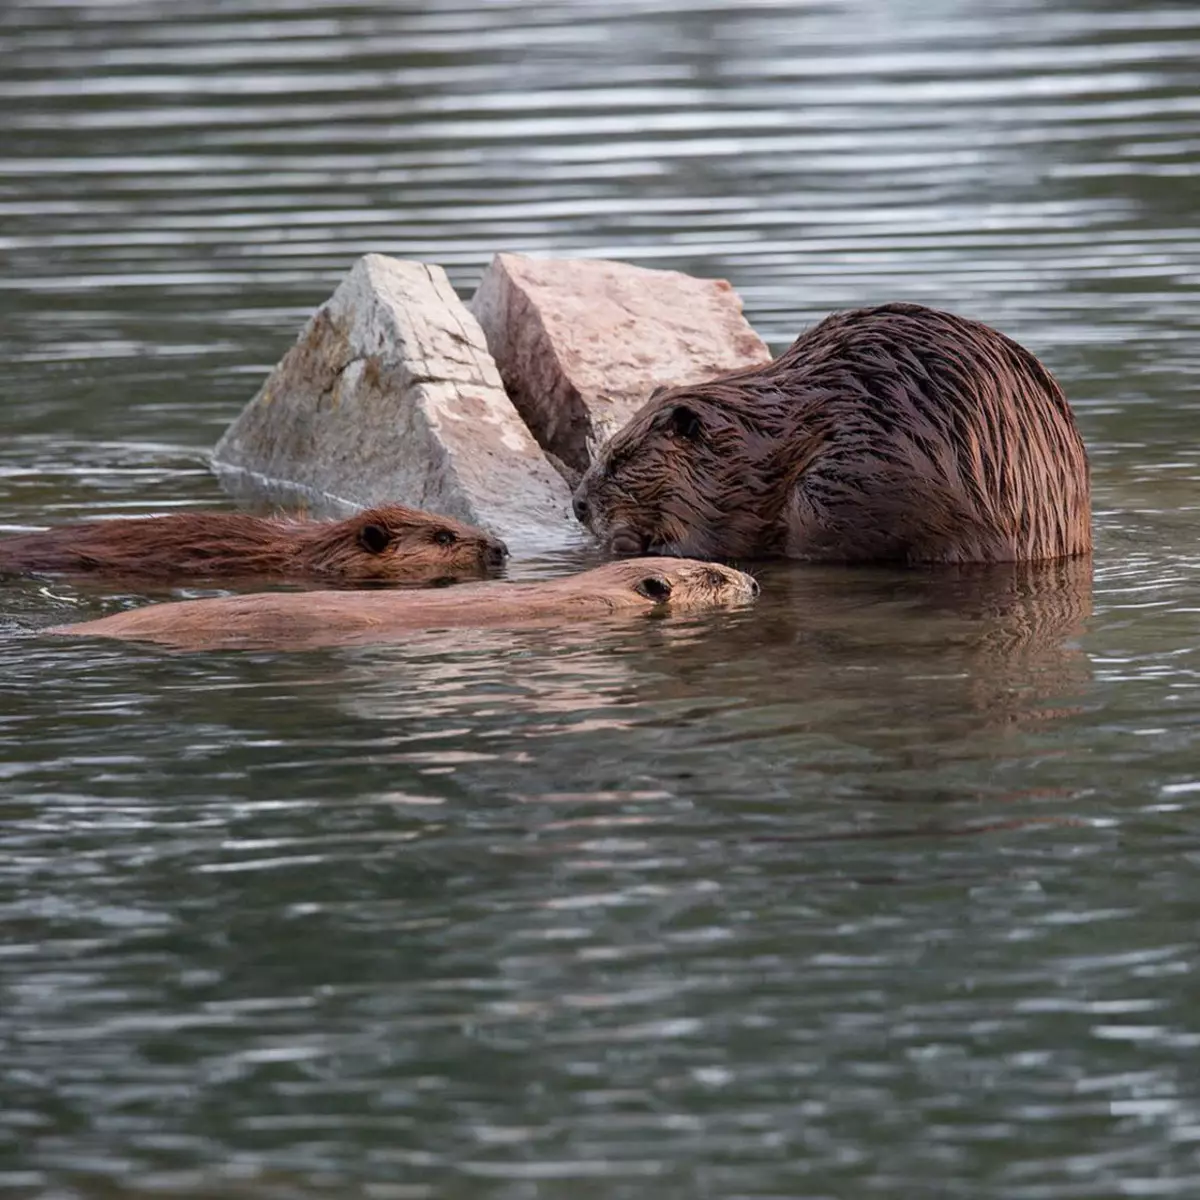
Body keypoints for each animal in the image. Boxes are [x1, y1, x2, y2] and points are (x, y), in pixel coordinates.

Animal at [576, 300, 1094, 561]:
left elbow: (715, 540)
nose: (579, 506)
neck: (754, 436)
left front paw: (626, 542)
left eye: (622, 458)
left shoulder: (740, 495)